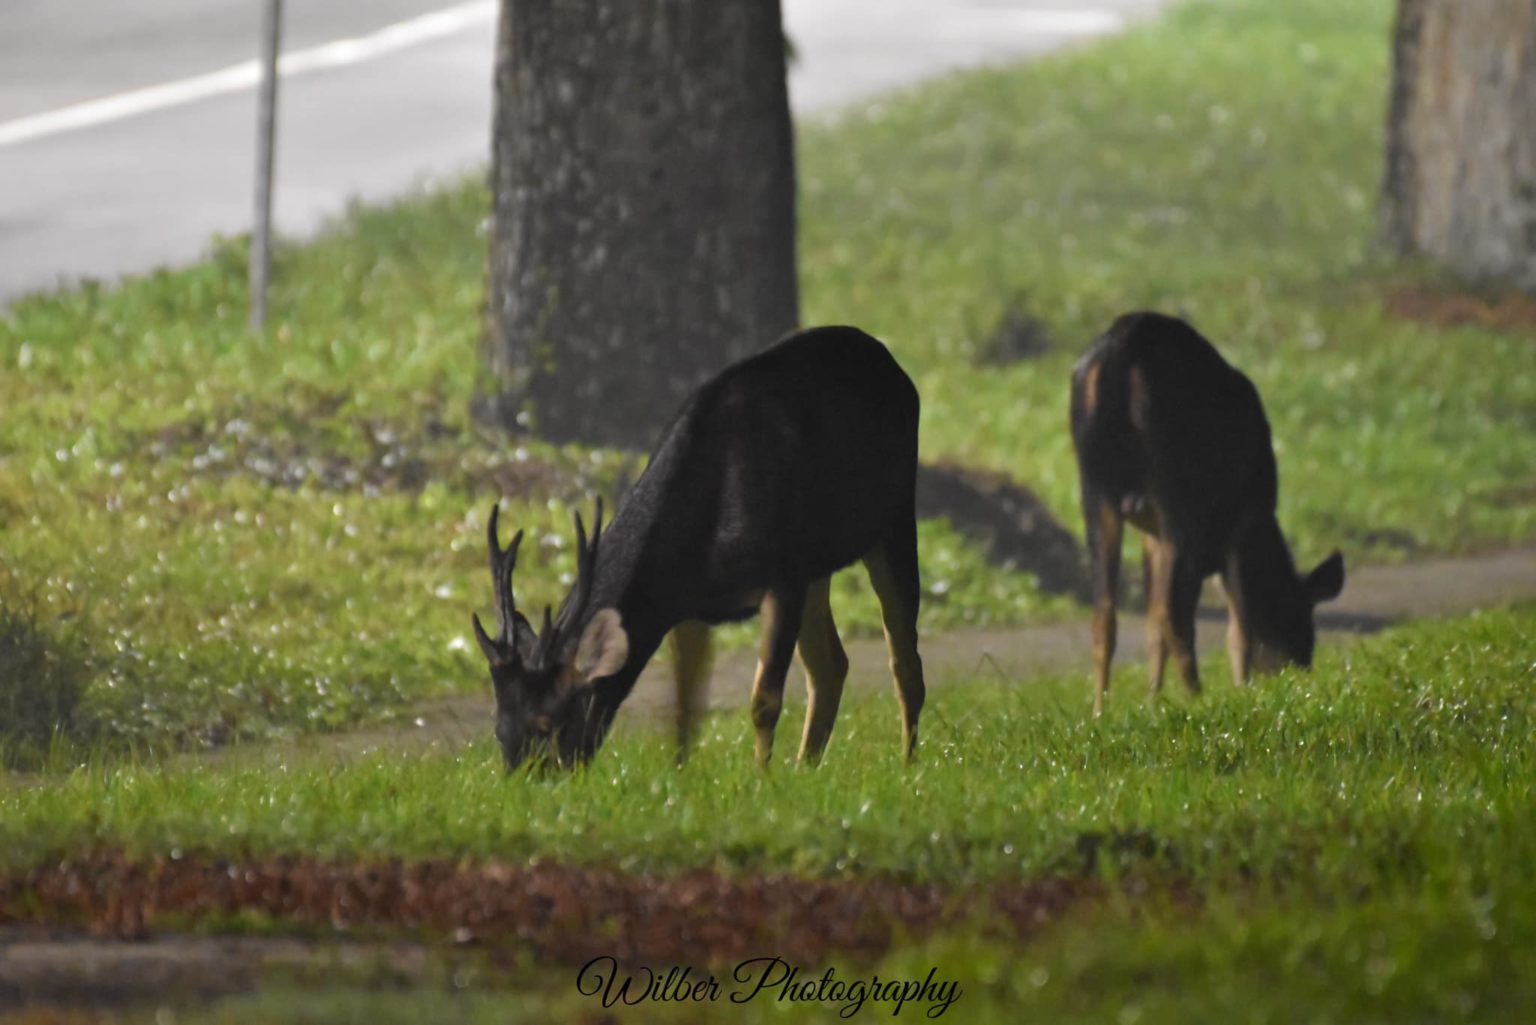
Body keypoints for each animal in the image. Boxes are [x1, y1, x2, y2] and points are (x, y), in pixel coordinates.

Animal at [471, 325, 926, 771]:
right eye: (498, 727)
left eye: (549, 722)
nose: (527, 781)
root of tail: (893, 365)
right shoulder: (686, 605)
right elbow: (683, 706)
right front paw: (679, 778)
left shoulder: (784, 574)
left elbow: (764, 699)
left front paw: (761, 780)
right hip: (819, 563)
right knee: (830, 666)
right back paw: (807, 768)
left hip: (894, 519)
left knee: (906, 661)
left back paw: (907, 765)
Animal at [1069, 312, 1345, 716]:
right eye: (1300, 627)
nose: (1299, 677)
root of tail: (1124, 348)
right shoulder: (1240, 524)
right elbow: (1239, 626)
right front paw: (1242, 690)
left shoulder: (1153, 535)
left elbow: (1151, 623)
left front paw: (1152, 700)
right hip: (1175, 491)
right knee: (1176, 614)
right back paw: (1197, 698)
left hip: (1095, 489)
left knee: (1105, 613)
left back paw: (1099, 712)